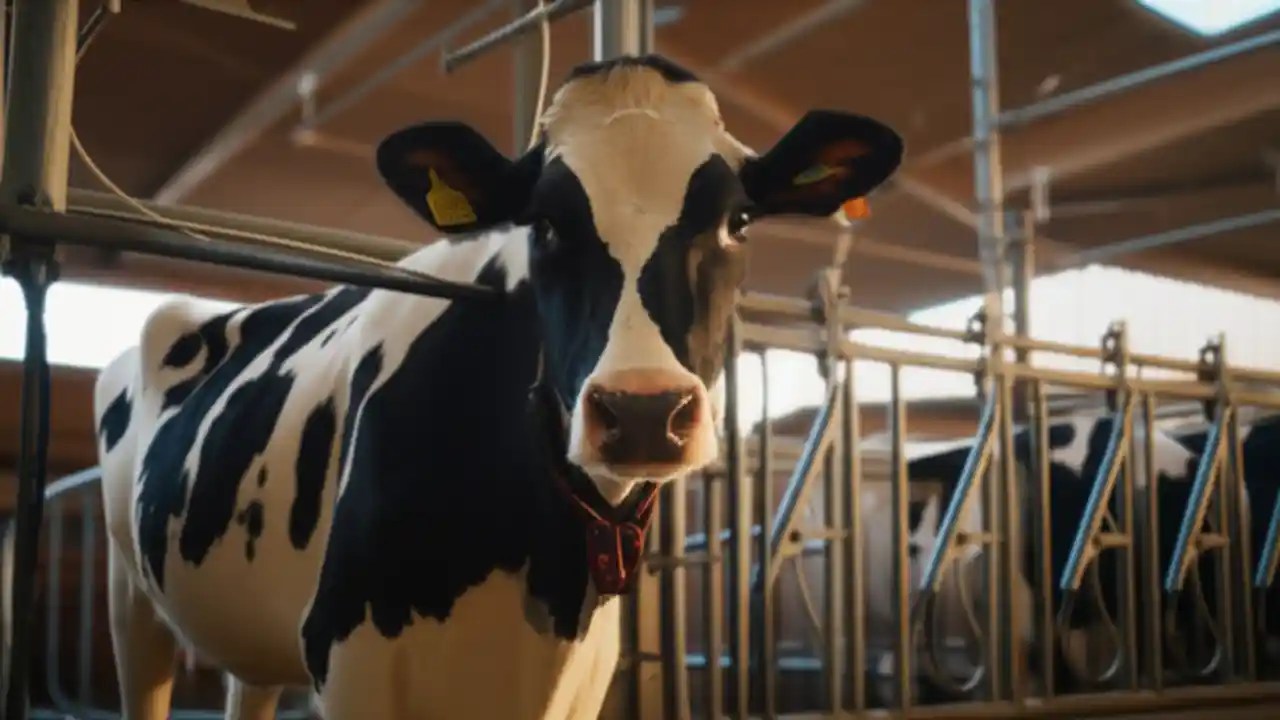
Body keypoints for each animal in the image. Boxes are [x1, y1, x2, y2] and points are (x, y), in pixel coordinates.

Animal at [92, 54, 903, 720]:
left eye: (738, 220)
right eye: (542, 223)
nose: (643, 411)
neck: (538, 568)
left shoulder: (579, 682)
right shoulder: (351, 662)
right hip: (130, 603)